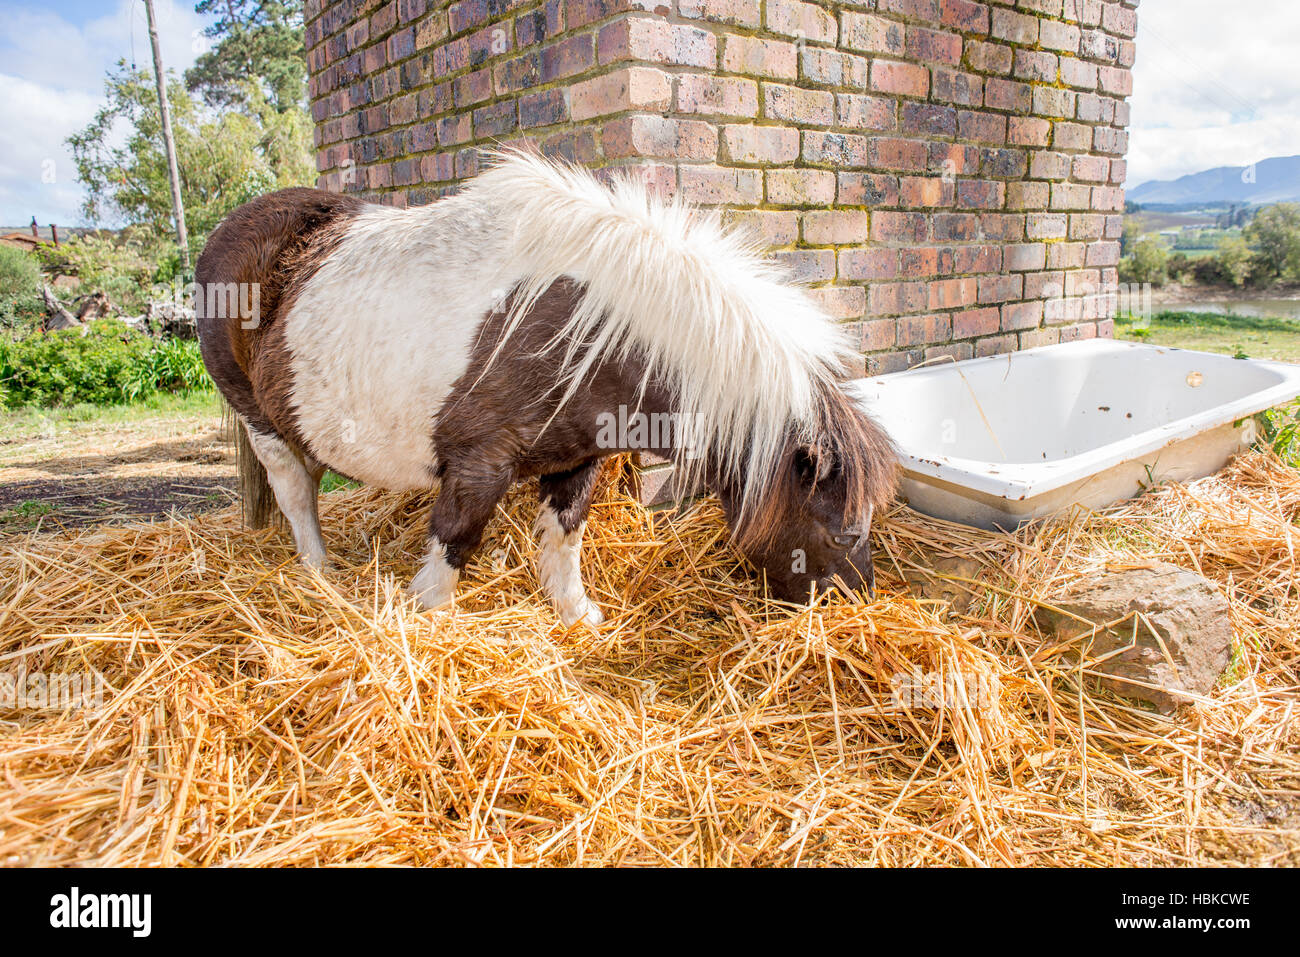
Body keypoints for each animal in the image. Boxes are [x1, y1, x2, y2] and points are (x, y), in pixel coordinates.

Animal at [195, 151, 897, 626]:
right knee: (294, 490)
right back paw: (317, 572)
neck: (585, 332)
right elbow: (454, 544)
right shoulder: (476, 467)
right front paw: (430, 621)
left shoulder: (577, 460)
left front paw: (576, 616)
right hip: (258, 418)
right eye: (841, 534)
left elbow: (564, 539)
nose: (855, 613)